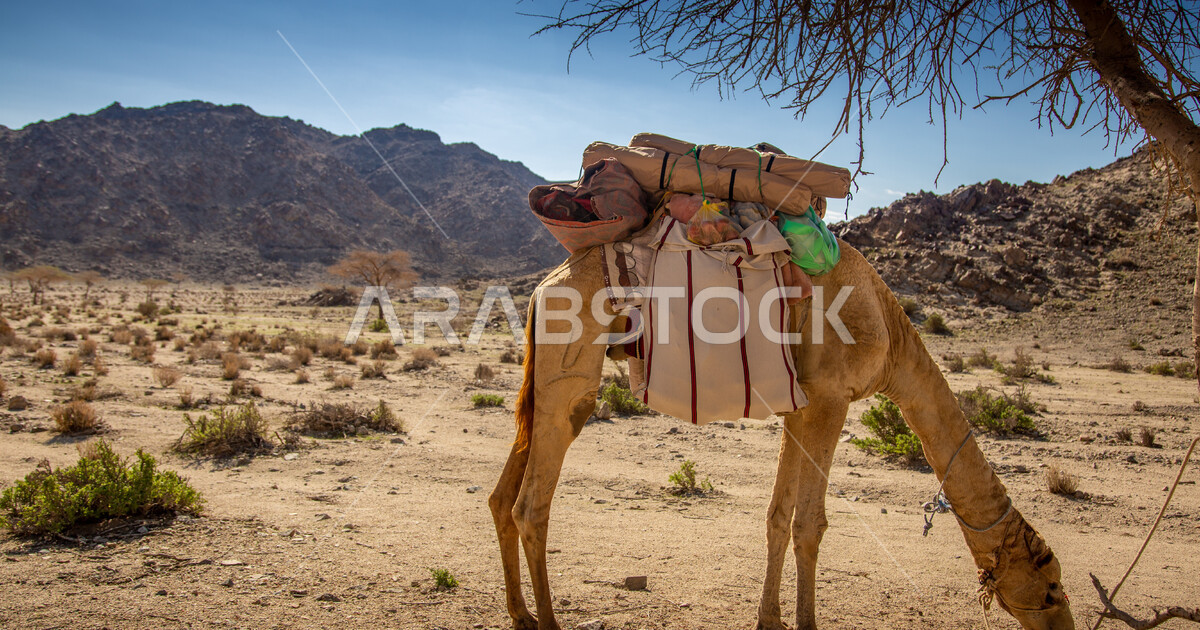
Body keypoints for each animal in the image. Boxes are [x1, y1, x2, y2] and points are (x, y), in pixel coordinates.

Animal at [488, 234, 1076, 630]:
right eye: (1051, 589)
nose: (1063, 624)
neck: (889, 329)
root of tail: (543, 287)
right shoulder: (832, 398)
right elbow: (810, 524)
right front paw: (807, 622)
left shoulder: (802, 407)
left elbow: (778, 515)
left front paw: (768, 618)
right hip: (571, 371)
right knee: (530, 505)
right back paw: (548, 622)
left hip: (543, 387)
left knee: (502, 497)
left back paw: (520, 614)